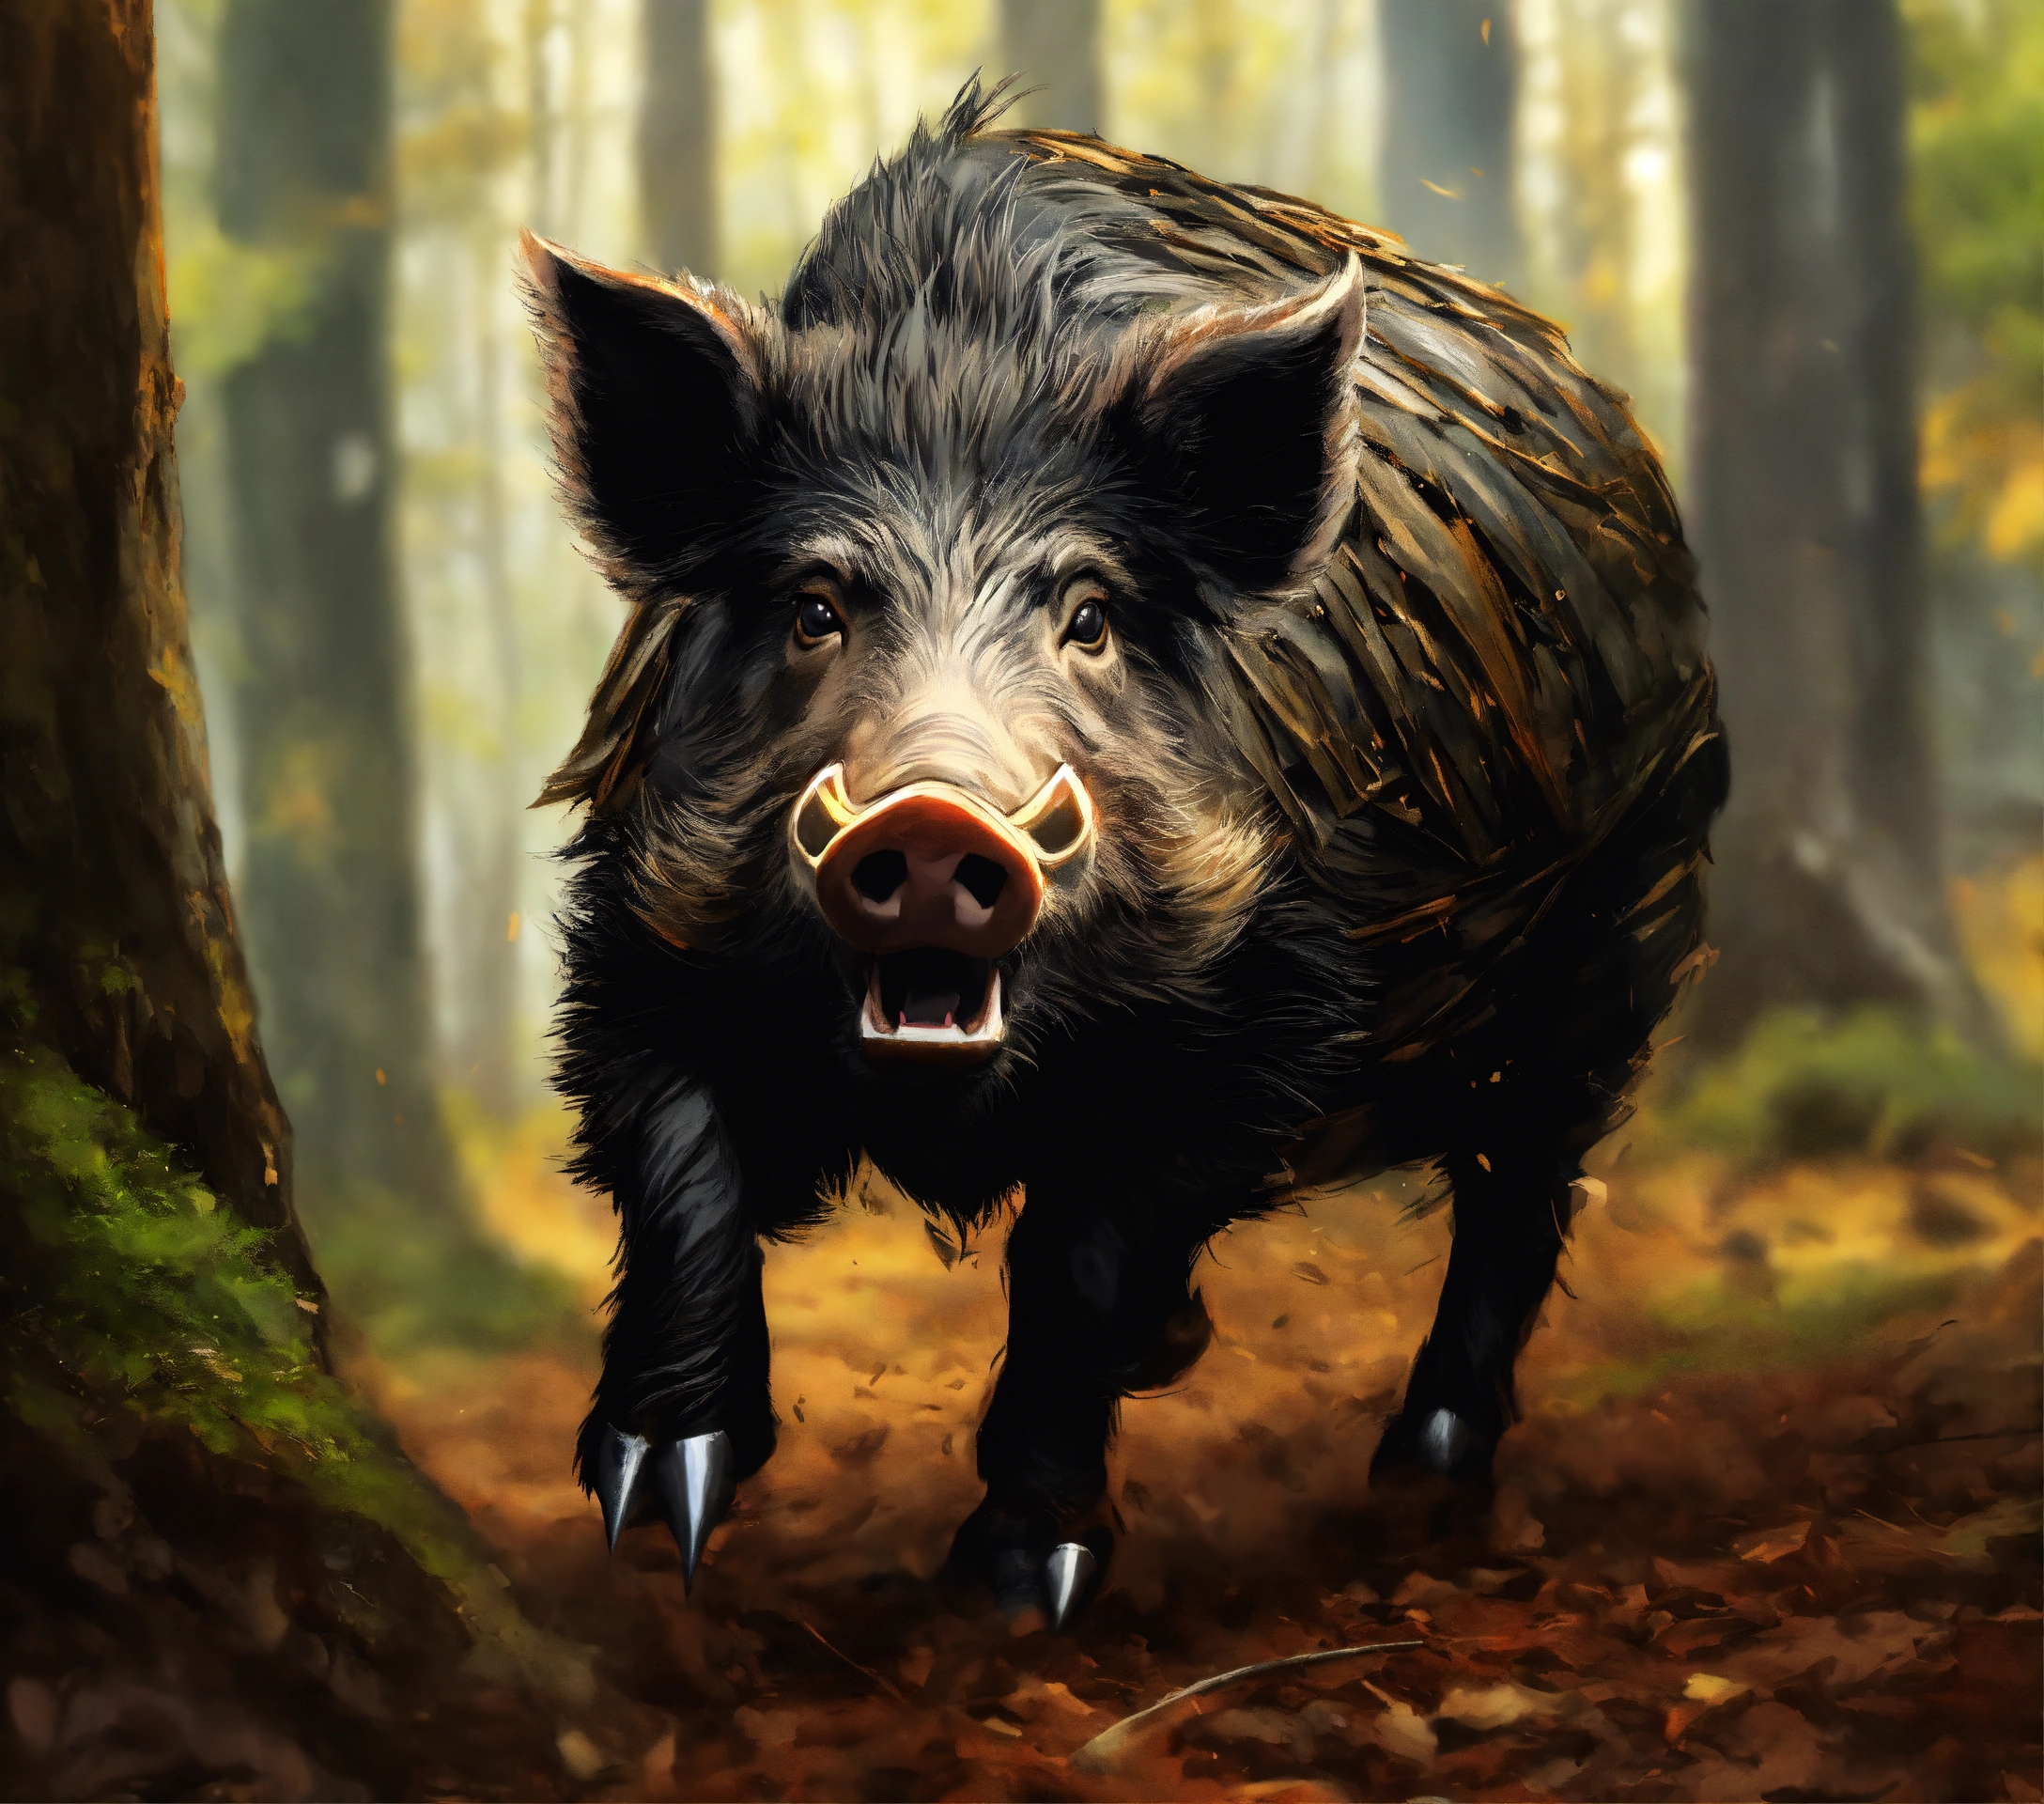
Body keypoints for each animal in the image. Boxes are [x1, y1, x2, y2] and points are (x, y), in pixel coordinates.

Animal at [522, 80, 1726, 1629]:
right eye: (813, 607)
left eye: (1088, 616)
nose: (932, 815)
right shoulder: (637, 931)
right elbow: (679, 1168)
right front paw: (649, 1507)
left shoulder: (1278, 998)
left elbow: (1082, 1253)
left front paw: (1021, 1581)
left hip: (1623, 923)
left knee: (1524, 1183)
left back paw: (1421, 1470)